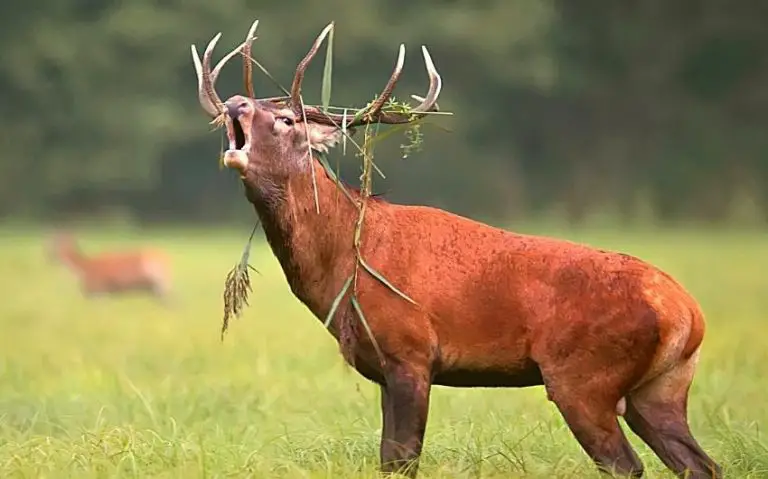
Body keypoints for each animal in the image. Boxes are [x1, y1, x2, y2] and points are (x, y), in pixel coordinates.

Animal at [190, 20, 722, 479]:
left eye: (284, 119)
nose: (235, 103)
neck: (344, 266)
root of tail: (687, 312)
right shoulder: (384, 368)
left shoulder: (411, 352)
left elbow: (401, 460)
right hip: (661, 387)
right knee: (702, 464)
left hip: (584, 377)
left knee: (626, 465)